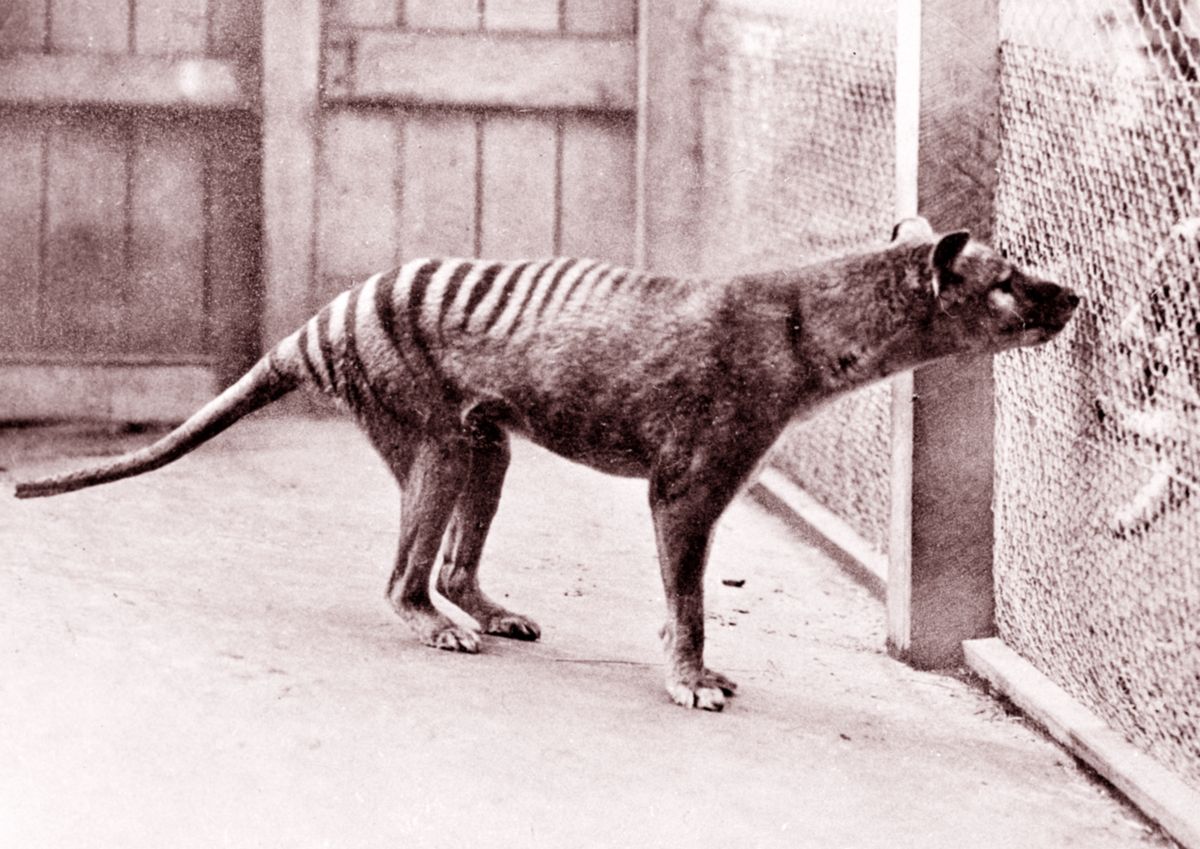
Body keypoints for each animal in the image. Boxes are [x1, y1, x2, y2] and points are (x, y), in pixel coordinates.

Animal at [14, 217, 1080, 711]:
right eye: (1007, 280)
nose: (1072, 295)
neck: (805, 324)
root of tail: (322, 321)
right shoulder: (688, 482)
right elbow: (689, 596)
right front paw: (691, 677)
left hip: (485, 440)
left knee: (452, 561)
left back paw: (485, 609)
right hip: (436, 438)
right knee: (404, 576)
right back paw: (438, 627)